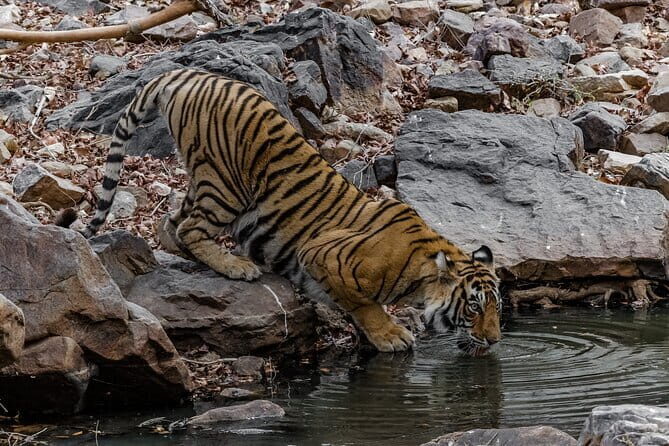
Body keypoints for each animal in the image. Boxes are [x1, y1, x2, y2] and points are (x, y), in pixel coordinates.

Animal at [63, 68, 501, 354]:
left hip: (203, 179)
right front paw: (390, 335)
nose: (495, 339)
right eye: (474, 306)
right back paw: (237, 266)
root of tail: (185, 74)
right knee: (189, 228)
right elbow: (365, 303)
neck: (420, 275)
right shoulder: (326, 255)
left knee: (169, 223)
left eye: (498, 306)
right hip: (226, 184)